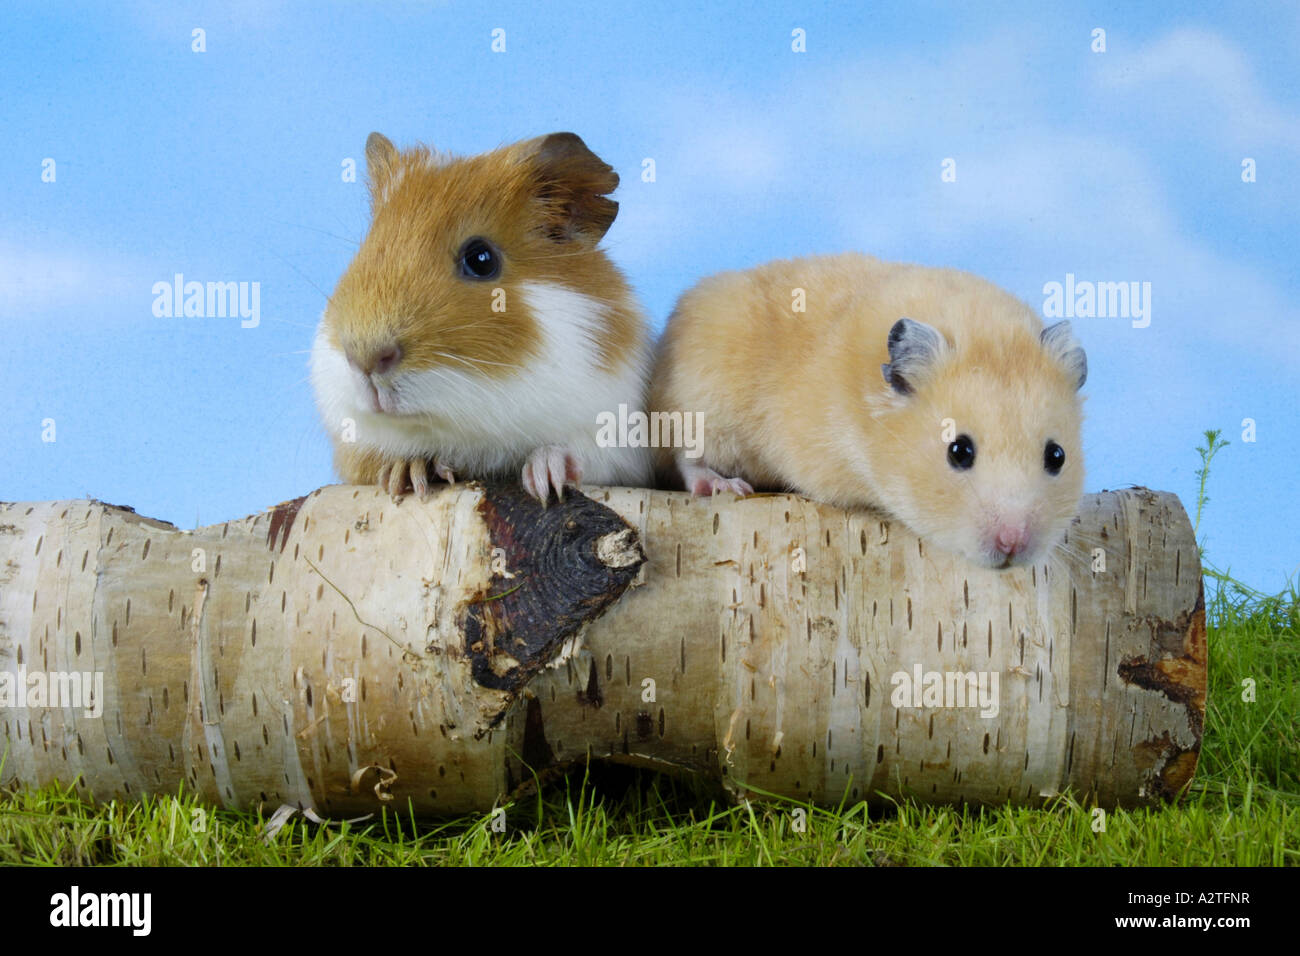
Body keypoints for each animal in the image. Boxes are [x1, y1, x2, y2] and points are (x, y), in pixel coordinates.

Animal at [311, 131, 652, 503]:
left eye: (481, 259)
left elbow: (575, 451)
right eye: (366, 249)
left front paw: (546, 480)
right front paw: (409, 473)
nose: (365, 358)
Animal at [649, 252, 1088, 570]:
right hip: (698, 401)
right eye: (959, 451)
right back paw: (723, 486)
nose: (1014, 543)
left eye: (1057, 456)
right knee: (685, 458)